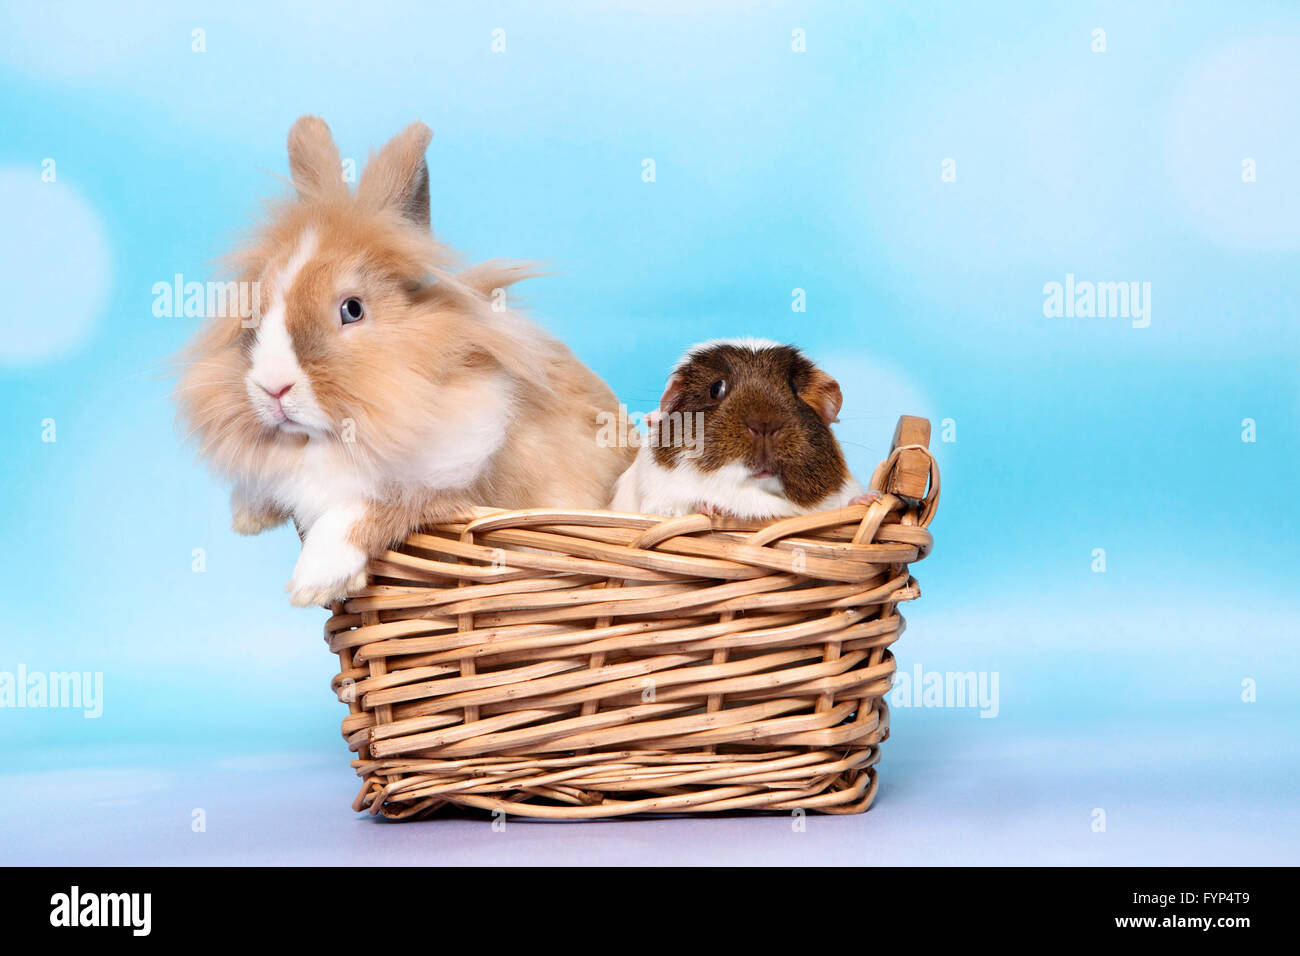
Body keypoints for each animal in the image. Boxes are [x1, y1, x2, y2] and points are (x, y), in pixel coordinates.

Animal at [176, 116, 634, 606]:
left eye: (352, 309)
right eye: (254, 310)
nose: (273, 387)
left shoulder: (449, 487)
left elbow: (366, 508)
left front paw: (314, 581)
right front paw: (246, 516)